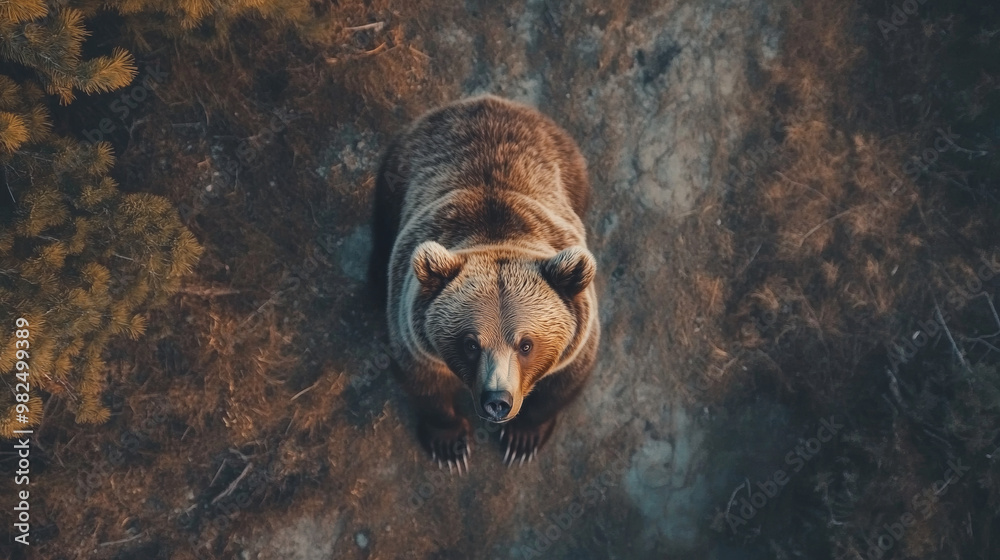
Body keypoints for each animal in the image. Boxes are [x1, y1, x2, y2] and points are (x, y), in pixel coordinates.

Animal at [368, 95, 600, 472]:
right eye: (470, 343)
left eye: (526, 344)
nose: (497, 400)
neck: (497, 236)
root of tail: (485, 101)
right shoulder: (414, 336)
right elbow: (424, 385)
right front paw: (450, 446)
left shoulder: (578, 338)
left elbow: (562, 384)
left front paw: (521, 440)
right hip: (396, 172)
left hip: (572, 170)